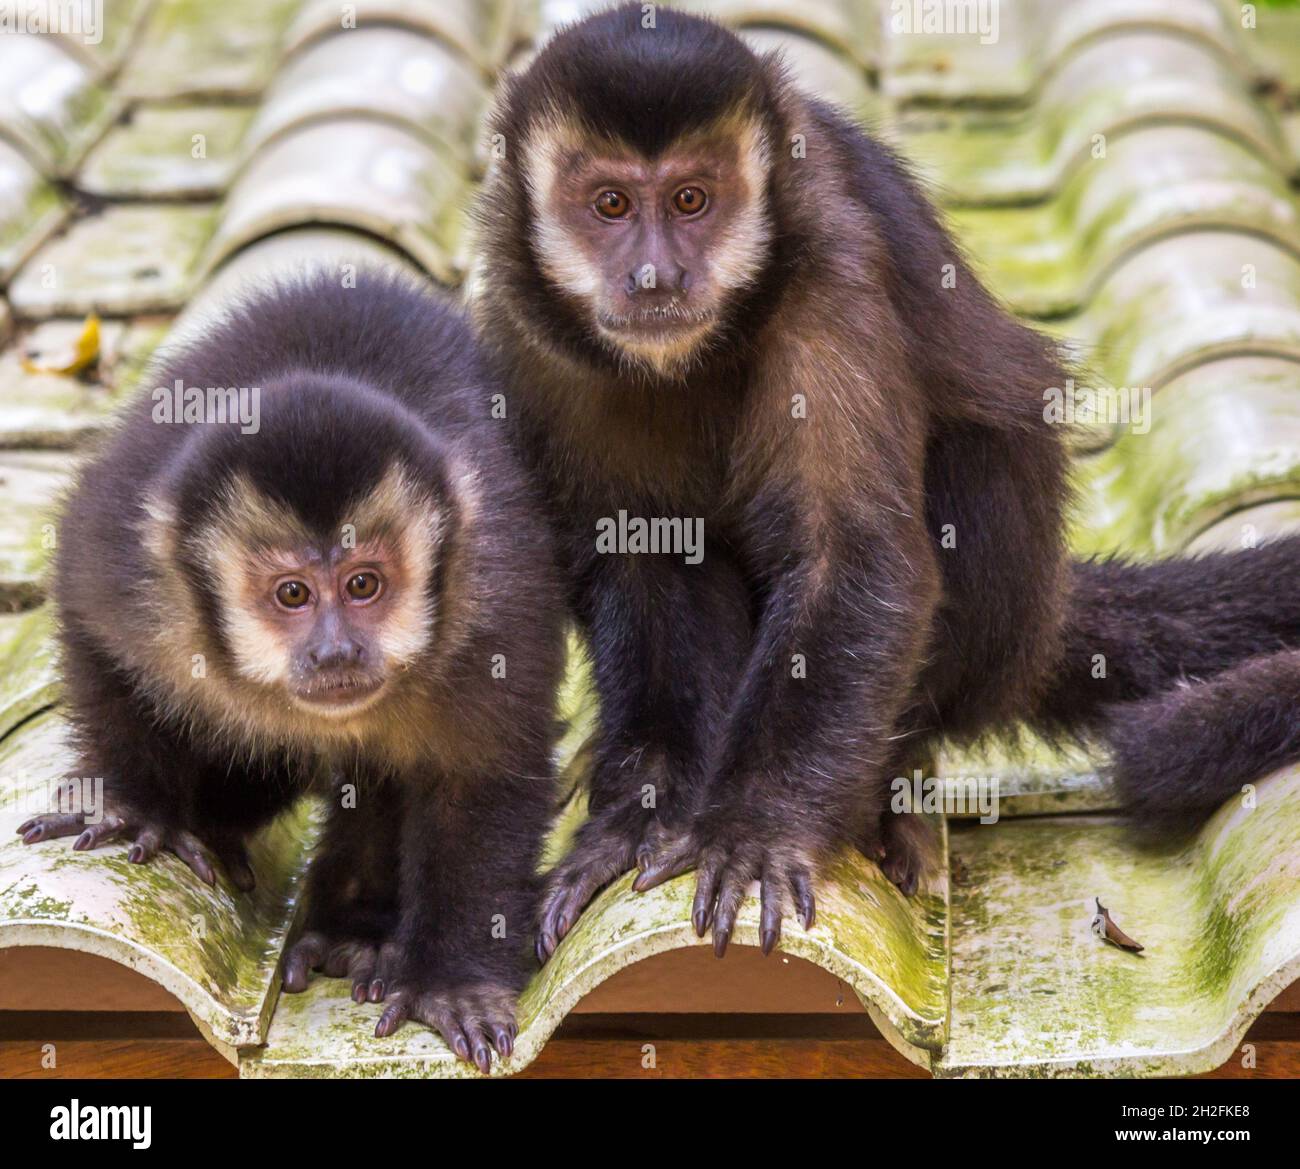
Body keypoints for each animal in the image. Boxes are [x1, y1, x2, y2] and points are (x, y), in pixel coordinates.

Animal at [17, 271, 566, 1070]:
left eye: (364, 585)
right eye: (292, 594)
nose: (335, 652)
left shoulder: (500, 592)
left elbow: (487, 776)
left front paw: (451, 981)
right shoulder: (128, 562)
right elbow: (95, 629)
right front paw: (131, 804)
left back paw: (356, 930)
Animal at [470, 4, 1300, 962]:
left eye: (691, 200)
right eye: (610, 205)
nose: (656, 275)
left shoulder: (831, 276)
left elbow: (854, 554)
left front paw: (755, 827)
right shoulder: (527, 326)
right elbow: (638, 556)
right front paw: (641, 819)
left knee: (979, 464)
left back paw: (890, 782)